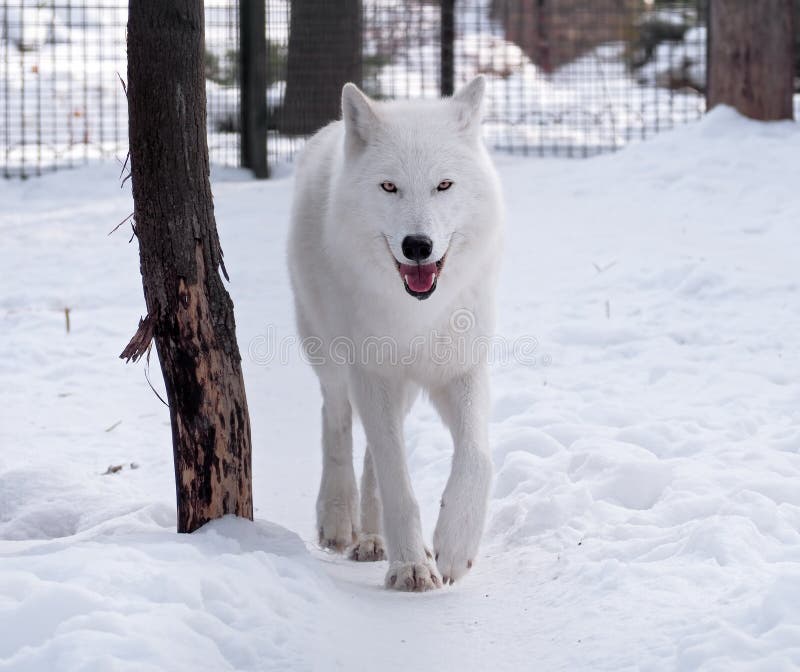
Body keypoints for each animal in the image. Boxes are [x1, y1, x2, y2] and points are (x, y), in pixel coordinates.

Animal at [288, 76, 504, 591]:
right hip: (329, 355)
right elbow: (395, 478)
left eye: (444, 185)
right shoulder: (372, 373)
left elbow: (477, 457)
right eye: (389, 187)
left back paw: (371, 537)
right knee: (337, 420)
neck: (416, 316)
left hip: (399, 386)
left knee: (372, 450)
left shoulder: (461, 370)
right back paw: (339, 518)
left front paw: (453, 546)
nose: (418, 246)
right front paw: (410, 566)